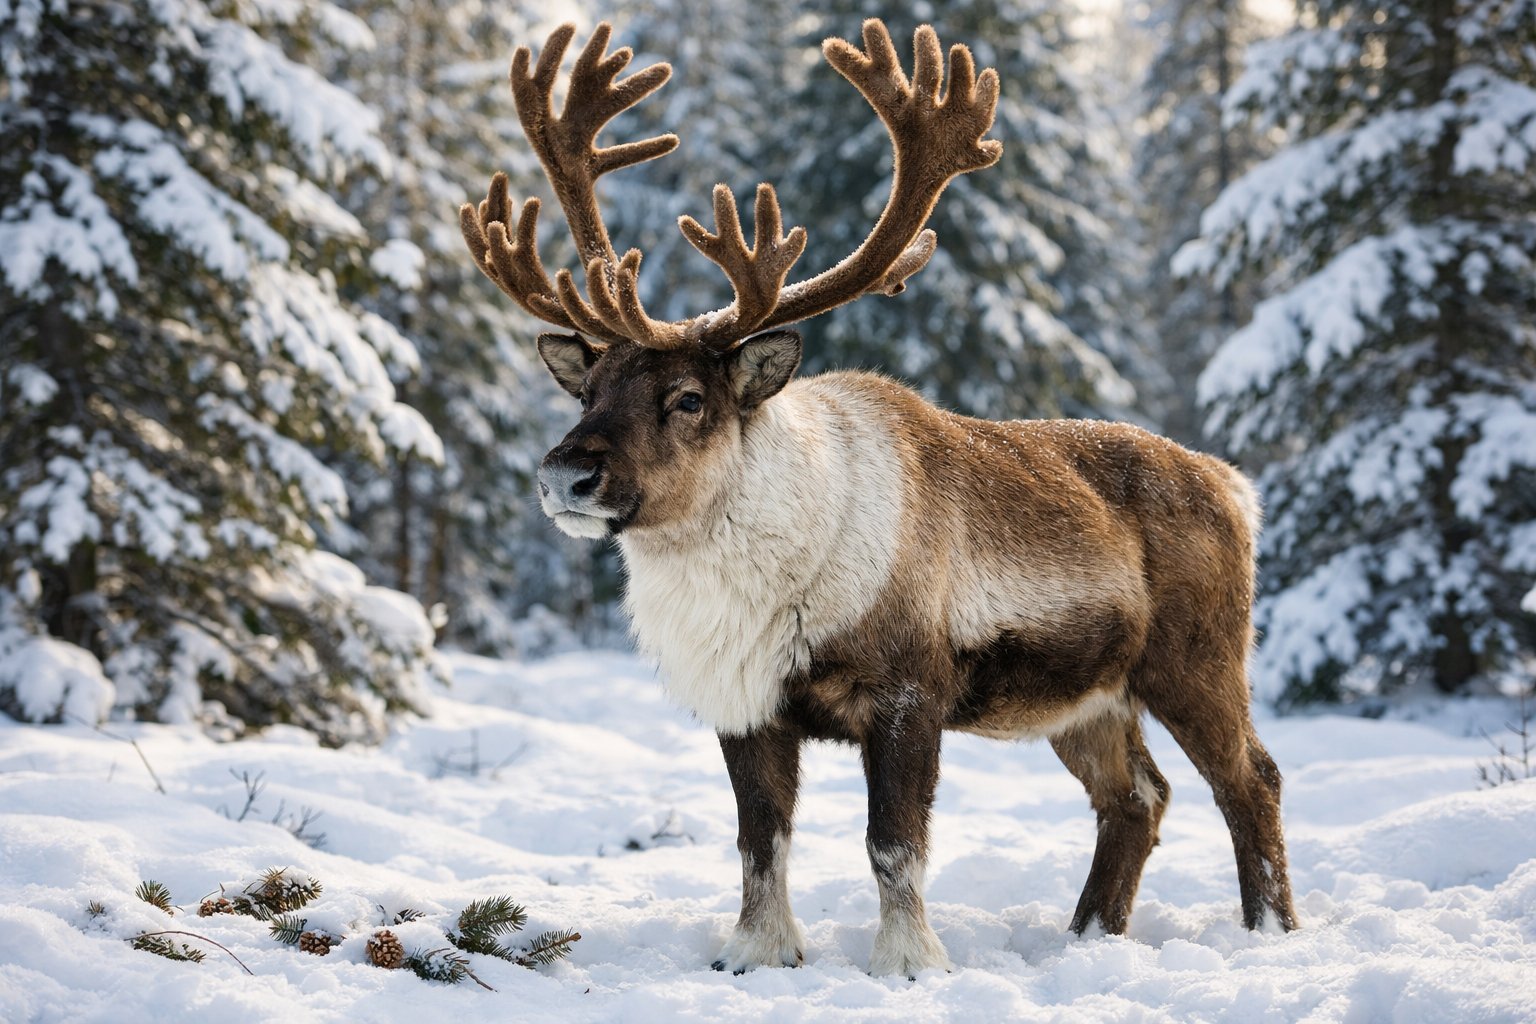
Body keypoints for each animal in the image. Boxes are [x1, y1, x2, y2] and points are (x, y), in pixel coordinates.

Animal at [461, 19, 1298, 978]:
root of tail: (1233, 484)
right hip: (1089, 698)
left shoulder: (908, 694)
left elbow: (892, 842)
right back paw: (1089, 935)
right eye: (587, 389)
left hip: (1196, 659)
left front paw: (908, 960)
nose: (565, 474)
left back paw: (1268, 934)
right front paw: (754, 953)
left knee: (1250, 779)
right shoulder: (749, 707)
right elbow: (760, 841)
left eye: (689, 398)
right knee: (1138, 797)